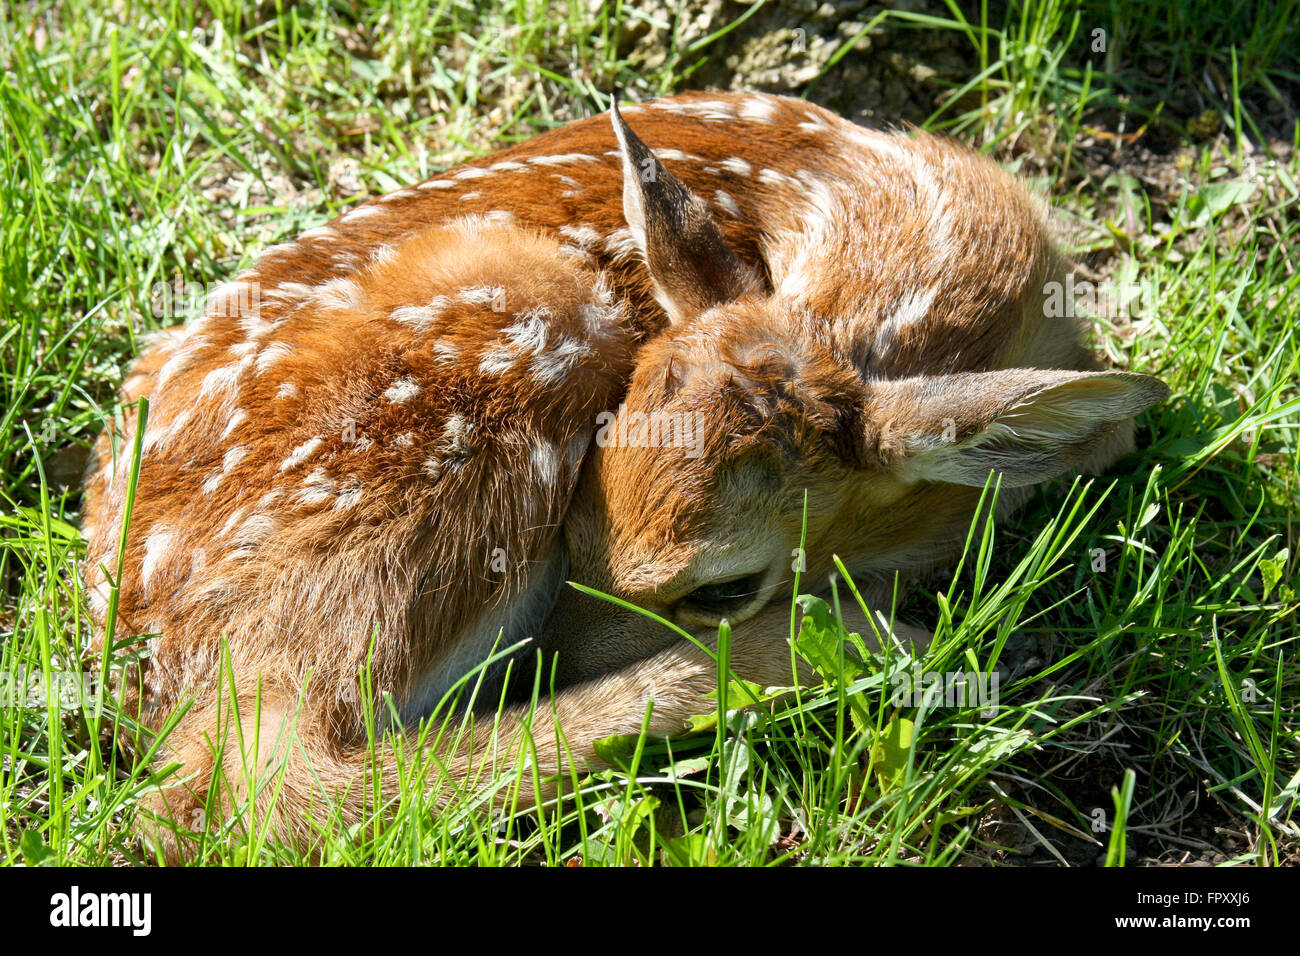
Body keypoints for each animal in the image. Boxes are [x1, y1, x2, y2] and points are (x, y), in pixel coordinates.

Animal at [80, 91, 1169, 862]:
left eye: (723, 584)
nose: (542, 665)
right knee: (264, 789)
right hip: (506, 336)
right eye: (576, 522)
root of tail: (144, 652)